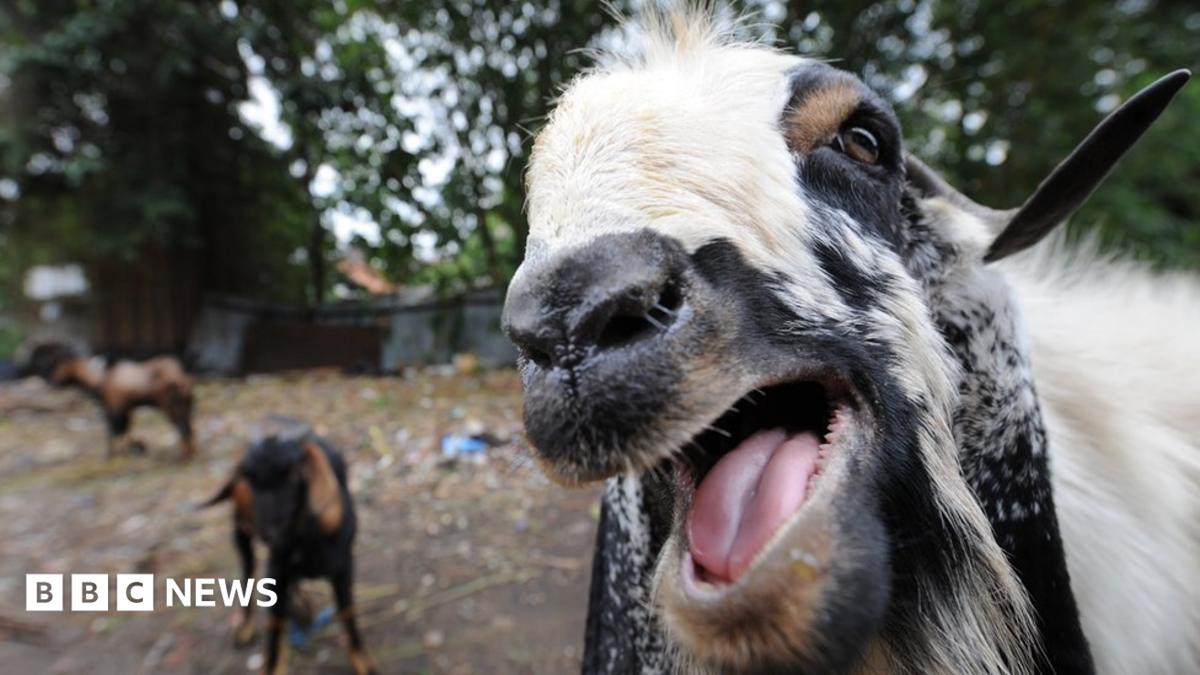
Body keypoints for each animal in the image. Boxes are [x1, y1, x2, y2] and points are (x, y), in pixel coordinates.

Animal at [25, 342, 195, 459]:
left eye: (59, 366)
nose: (52, 382)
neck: (100, 378)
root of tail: (182, 377)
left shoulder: (113, 408)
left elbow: (113, 433)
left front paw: (112, 454)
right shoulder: (125, 409)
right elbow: (123, 431)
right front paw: (133, 448)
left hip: (170, 406)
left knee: (183, 428)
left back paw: (182, 456)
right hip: (185, 404)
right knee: (189, 427)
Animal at [200, 419, 373, 675]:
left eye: (293, 472)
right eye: (248, 476)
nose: (269, 533)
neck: (305, 538)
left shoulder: (344, 566)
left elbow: (348, 612)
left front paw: (363, 662)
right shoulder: (277, 569)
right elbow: (275, 623)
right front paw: (272, 666)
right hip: (241, 533)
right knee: (248, 570)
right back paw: (247, 626)